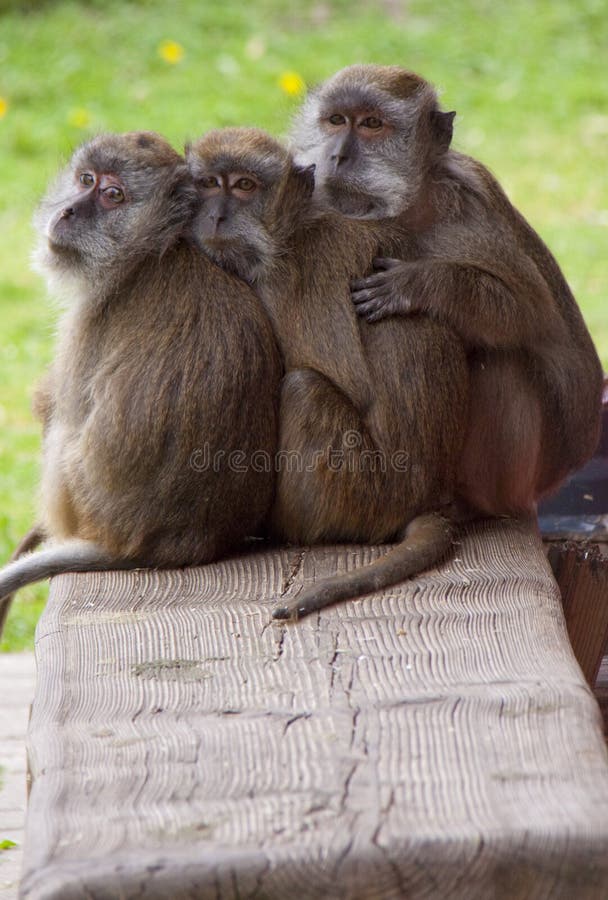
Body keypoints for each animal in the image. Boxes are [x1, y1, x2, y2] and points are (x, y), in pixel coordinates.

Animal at [0, 131, 281, 606]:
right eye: (86, 179)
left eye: (113, 195)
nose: (69, 210)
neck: (148, 253)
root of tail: (168, 545)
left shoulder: (86, 325)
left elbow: (64, 415)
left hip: (84, 502)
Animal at [186, 128, 469, 619]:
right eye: (207, 184)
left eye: (244, 186)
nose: (215, 216)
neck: (290, 231)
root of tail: (431, 494)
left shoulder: (280, 286)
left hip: (365, 492)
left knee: (302, 389)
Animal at [290, 64, 604, 517]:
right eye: (336, 120)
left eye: (371, 125)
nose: (337, 156)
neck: (414, 207)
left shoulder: (470, 217)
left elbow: (529, 313)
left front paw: (416, 284)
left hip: (524, 476)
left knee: (502, 363)